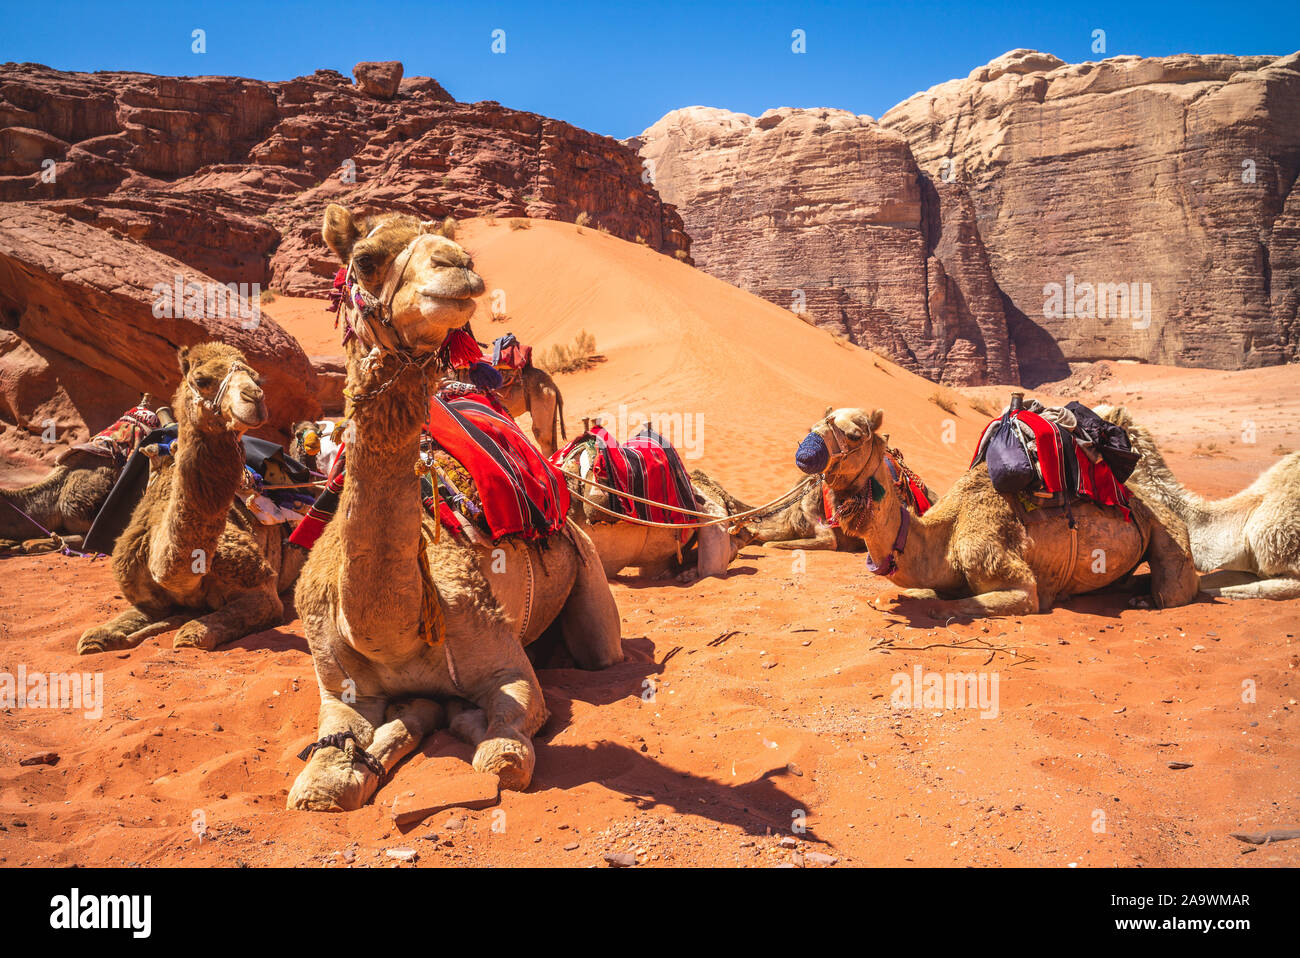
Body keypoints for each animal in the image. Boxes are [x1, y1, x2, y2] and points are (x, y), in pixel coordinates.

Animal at [77, 343, 306, 654]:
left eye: (257, 378)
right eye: (201, 379)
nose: (255, 398)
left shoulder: (263, 593)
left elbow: (192, 635)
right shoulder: (147, 601)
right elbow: (96, 636)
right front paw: (103, 638)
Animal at [287, 205, 621, 812]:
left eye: (458, 250)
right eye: (364, 259)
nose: (457, 264)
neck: (390, 632)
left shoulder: (506, 664)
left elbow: (504, 754)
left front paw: (464, 724)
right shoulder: (337, 686)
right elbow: (318, 783)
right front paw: (346, 769)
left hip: (589, 576)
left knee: (600, 652)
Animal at [795, 408, 1198, 617]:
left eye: (854, 434)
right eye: (814, 424)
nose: (805, 453)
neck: (944, 537)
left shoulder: (1010, 577)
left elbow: (957, 605)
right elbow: (914, 594)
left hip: (1167, 528)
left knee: (1174, 589)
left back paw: (1147, 599)